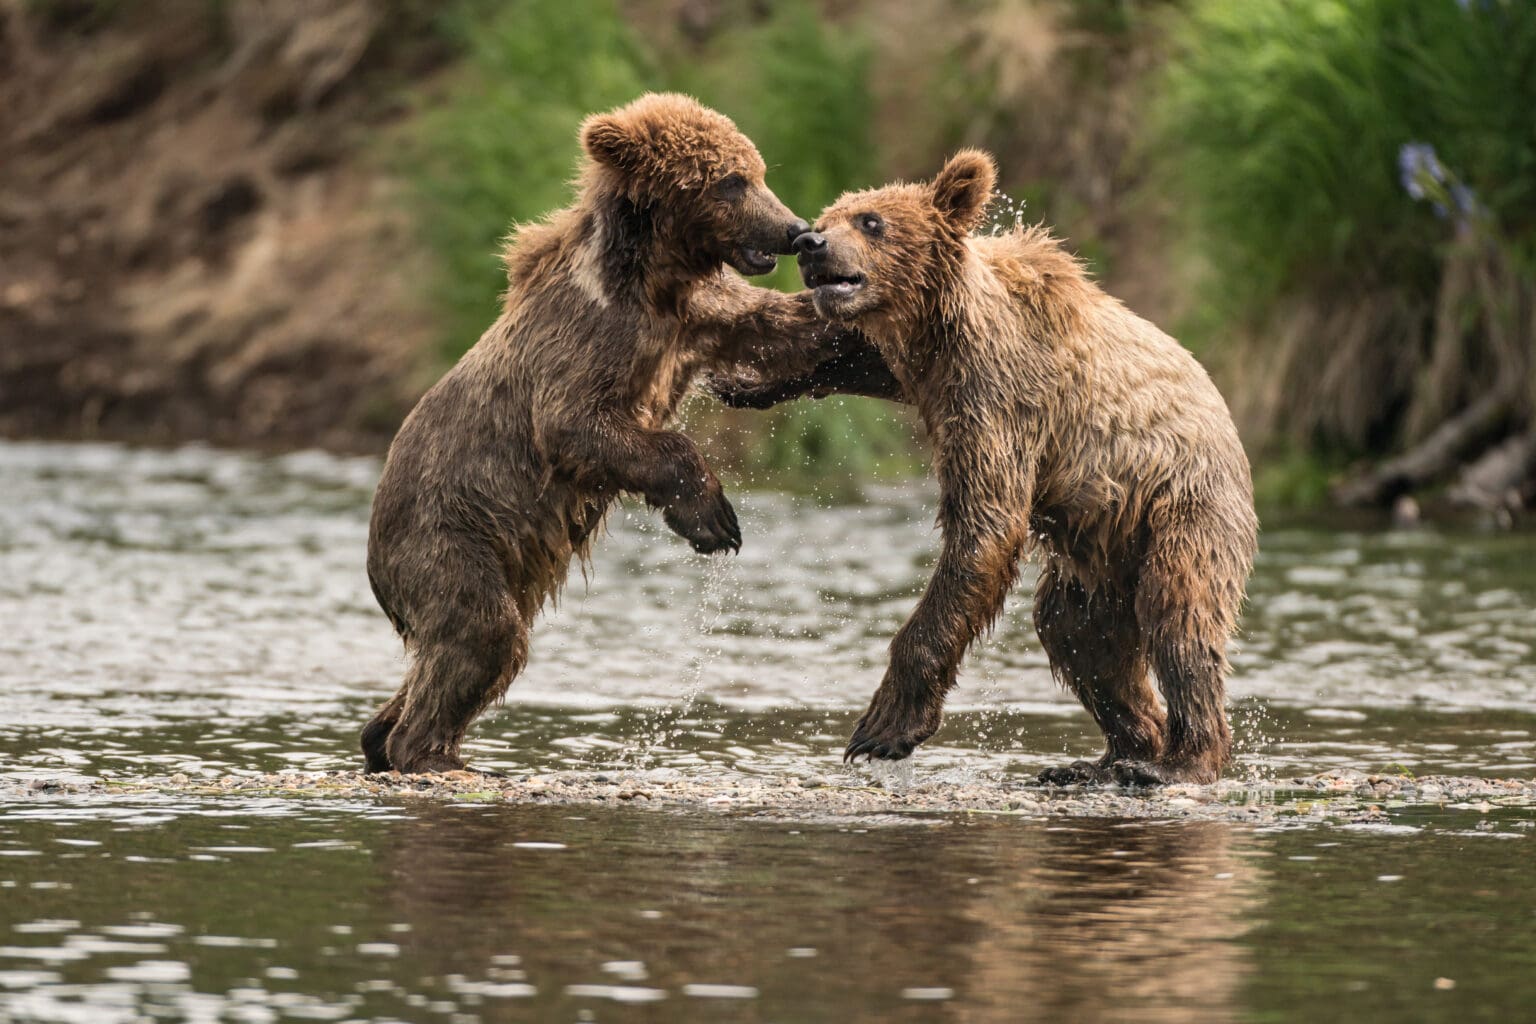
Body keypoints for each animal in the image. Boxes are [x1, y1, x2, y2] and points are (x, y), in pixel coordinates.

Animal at [362, 93, 847, 774]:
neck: (656, 277)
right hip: (447, 537)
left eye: (758, 172)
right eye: (729, 182)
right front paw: (714, 518)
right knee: (482, 633)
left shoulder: (697, 319)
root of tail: (375, 558)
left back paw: (382, 736)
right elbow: (579, 426)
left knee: (448, 655)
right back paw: (430, 753)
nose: (796, 229)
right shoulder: (587, 344)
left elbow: (772, 328)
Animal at [708, 150, 1258, 785]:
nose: (811, 243)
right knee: (1078, 636)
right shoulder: (926, 372)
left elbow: (983, 529)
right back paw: (1109, 756)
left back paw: (1178, 762)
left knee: (1179, 617)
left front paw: (882, 729)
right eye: (830, 217)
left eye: (871, 221)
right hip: (1097, 559)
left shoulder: (1000, 396)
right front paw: (741, 381)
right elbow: (855, 356)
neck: (944, 323)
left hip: (1180, 509)